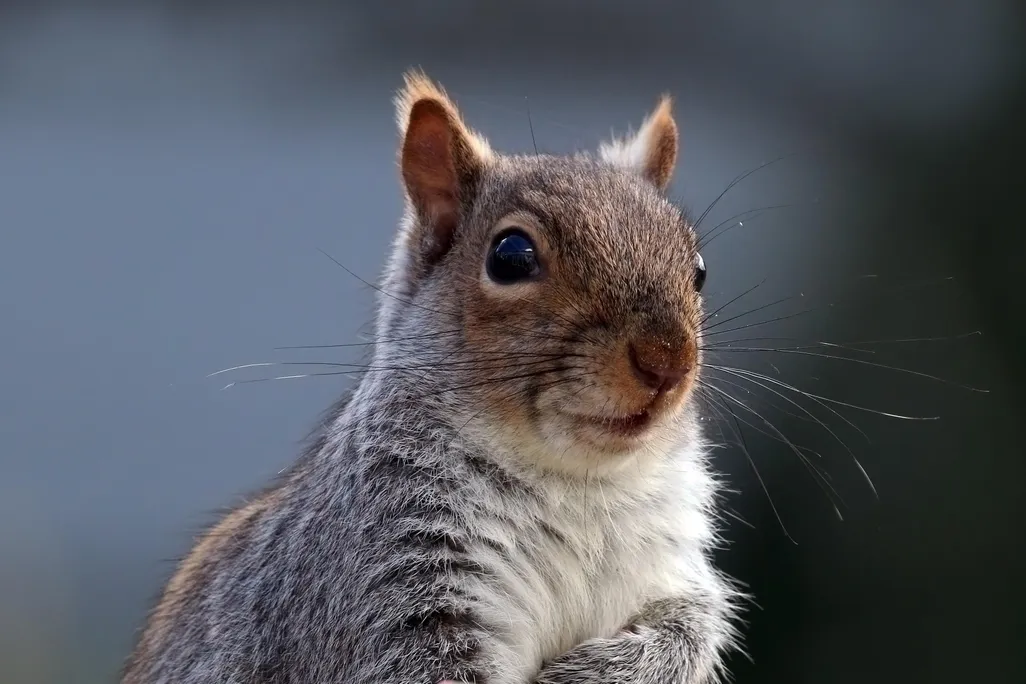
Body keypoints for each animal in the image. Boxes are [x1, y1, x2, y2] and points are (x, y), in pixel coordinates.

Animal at [121, 70, 741, 684]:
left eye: (699, 269)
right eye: (511, 256)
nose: (667, 361)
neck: (578, 483)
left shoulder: (671, 571)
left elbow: (688, 629)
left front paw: (595, 671)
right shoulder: (381, 580)